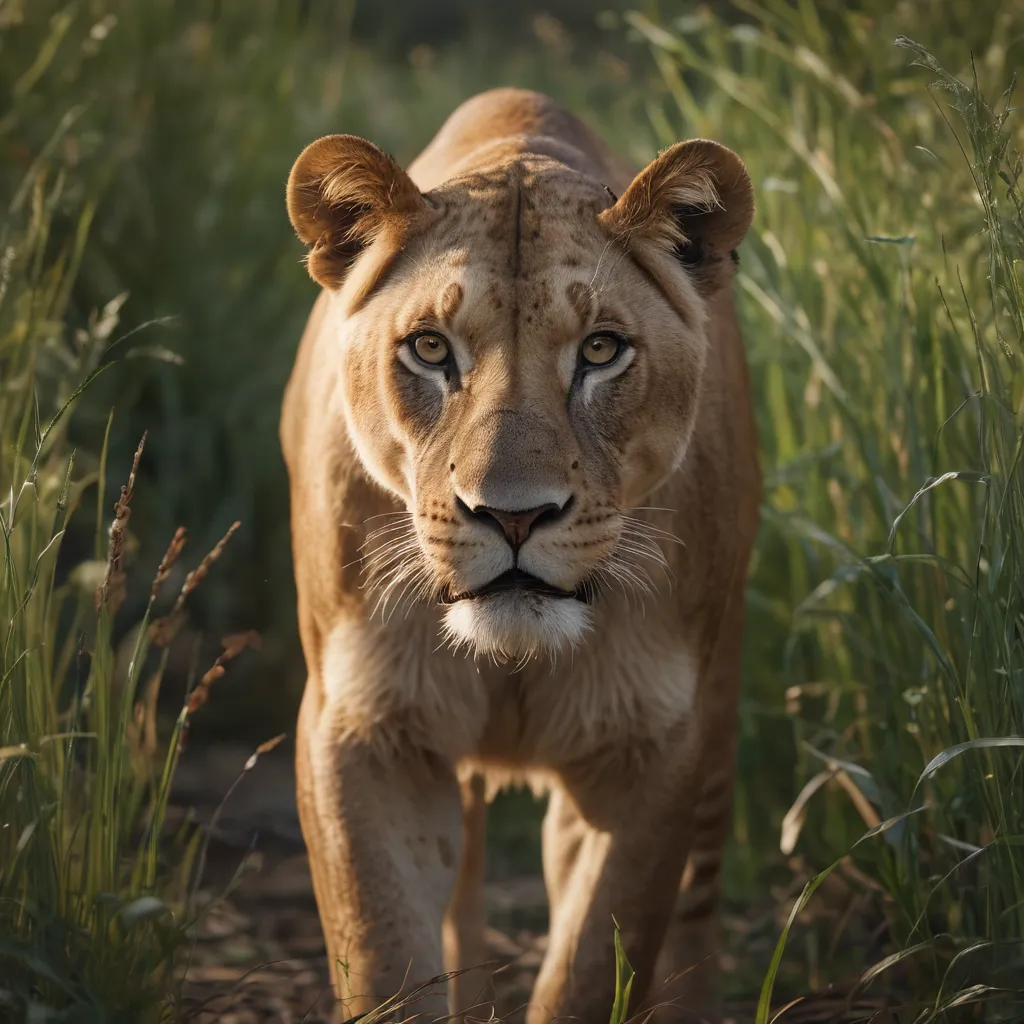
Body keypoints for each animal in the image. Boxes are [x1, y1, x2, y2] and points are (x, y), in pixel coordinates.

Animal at [280, 88, 760, 1023]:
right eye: (429, 348)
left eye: (602, 349)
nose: (511, 516)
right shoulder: (359, 729)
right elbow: (383, 954)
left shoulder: (649, 745)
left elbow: (592, 967)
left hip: (719, 706)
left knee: (699, 898)